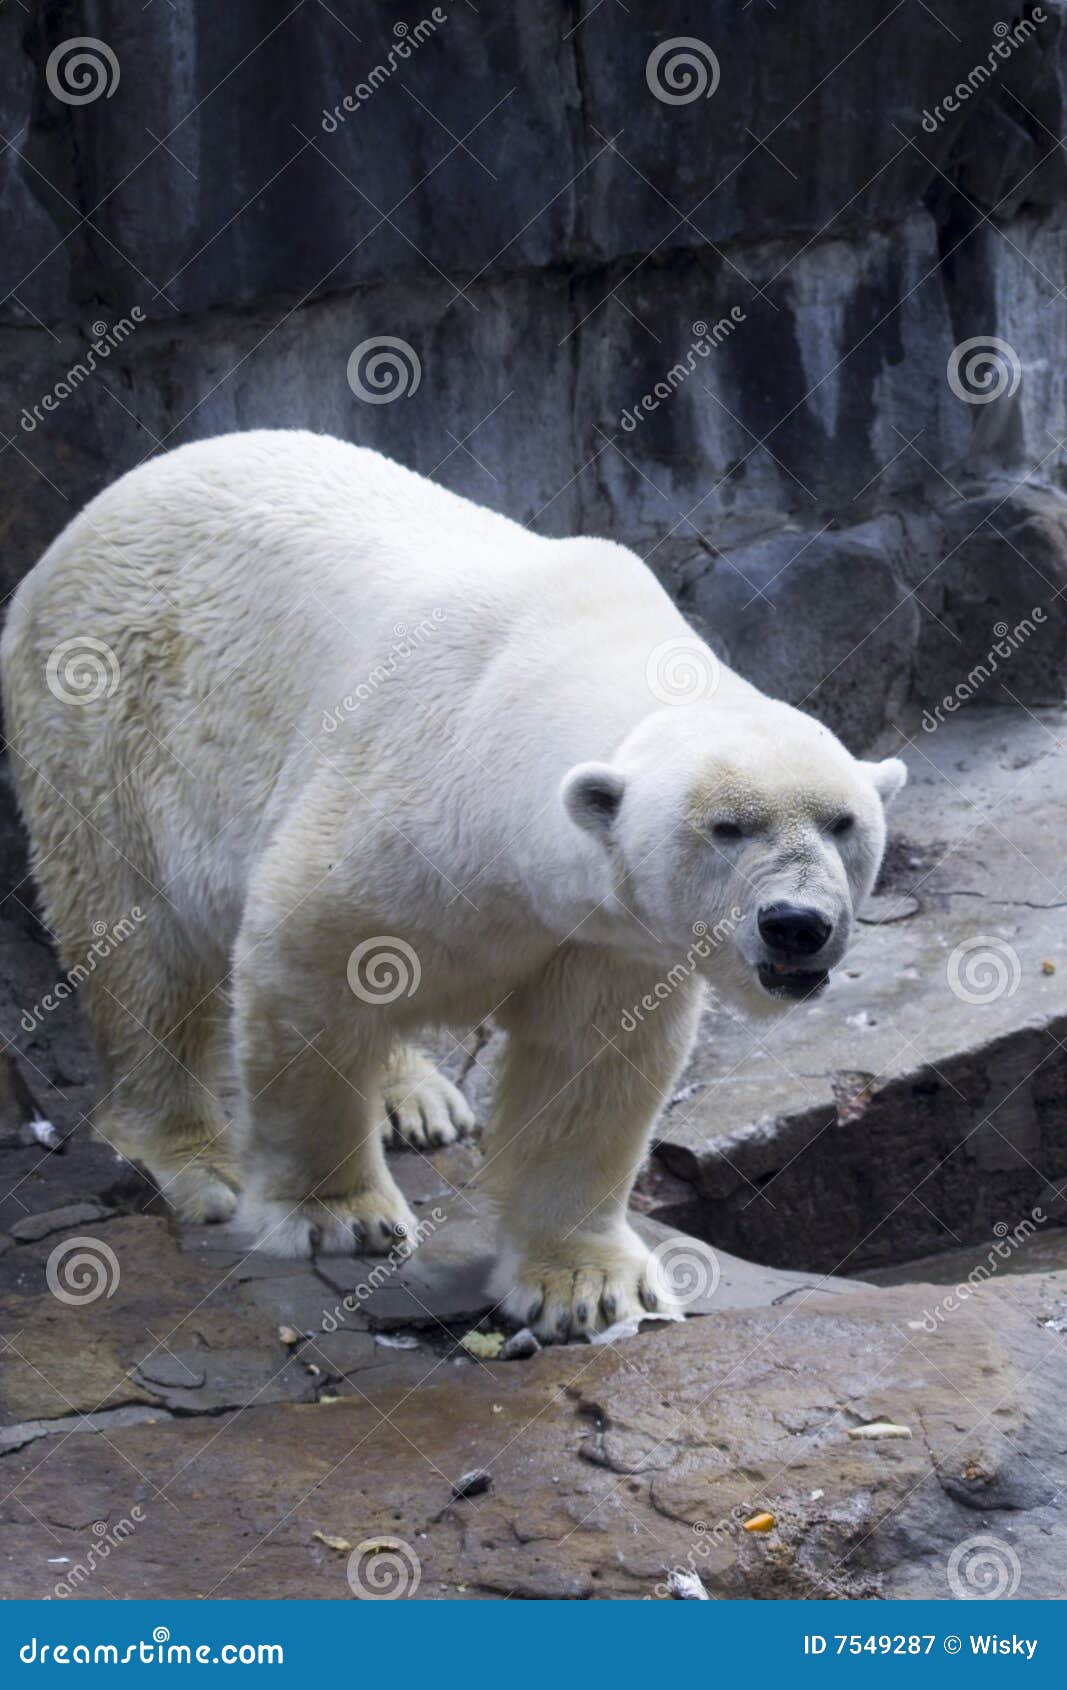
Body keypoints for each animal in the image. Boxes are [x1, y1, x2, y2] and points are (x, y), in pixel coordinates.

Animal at [1, 430, 905, 1341]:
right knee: (139, 945)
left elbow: (593, 1061)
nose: (796, 923)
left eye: (841, 824)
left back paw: (416, 1099)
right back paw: (194, 1156)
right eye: (726, 828)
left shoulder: (605, 933)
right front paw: (336, 1215)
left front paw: (587, 1283)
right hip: (109, 725)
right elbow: (308, 961)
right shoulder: (398, 798)